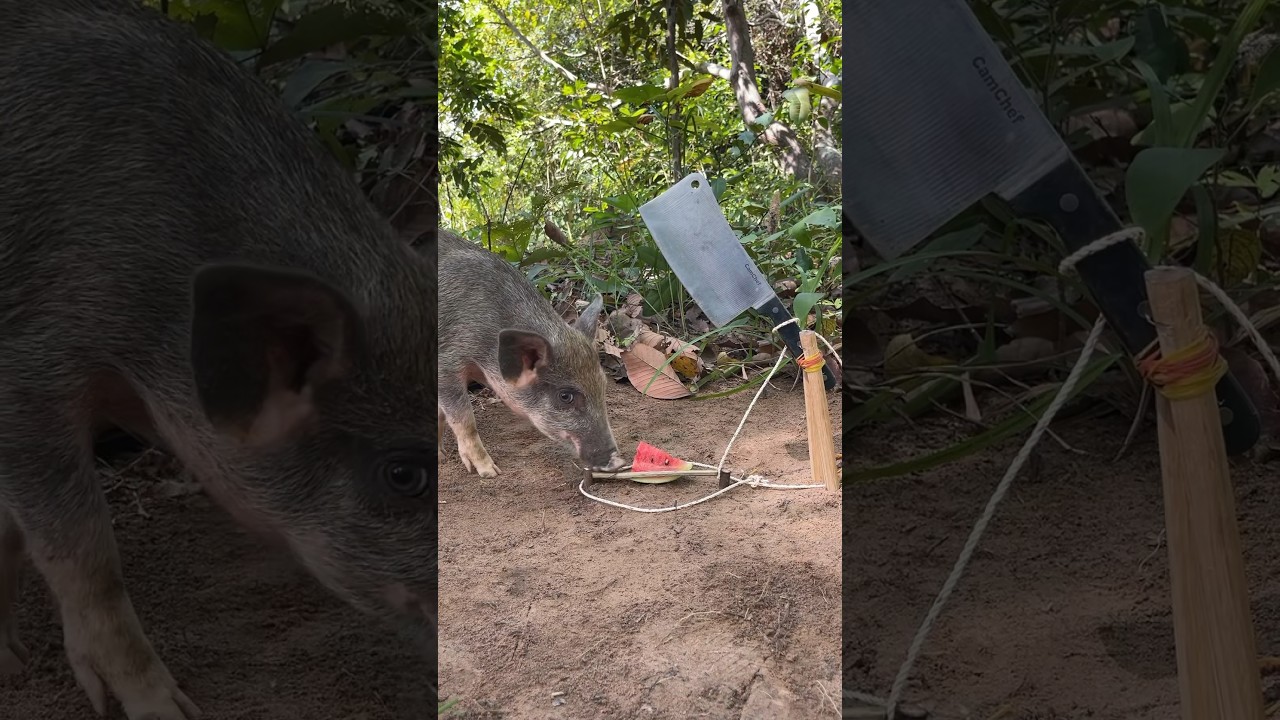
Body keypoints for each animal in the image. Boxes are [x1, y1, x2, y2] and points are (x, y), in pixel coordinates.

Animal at [437, 231, 627, 478]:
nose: (618, 462)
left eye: (603, 386)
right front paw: (491, 473)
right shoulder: (446, 362)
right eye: (565, 396)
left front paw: (440, 458)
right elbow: (465, 419)